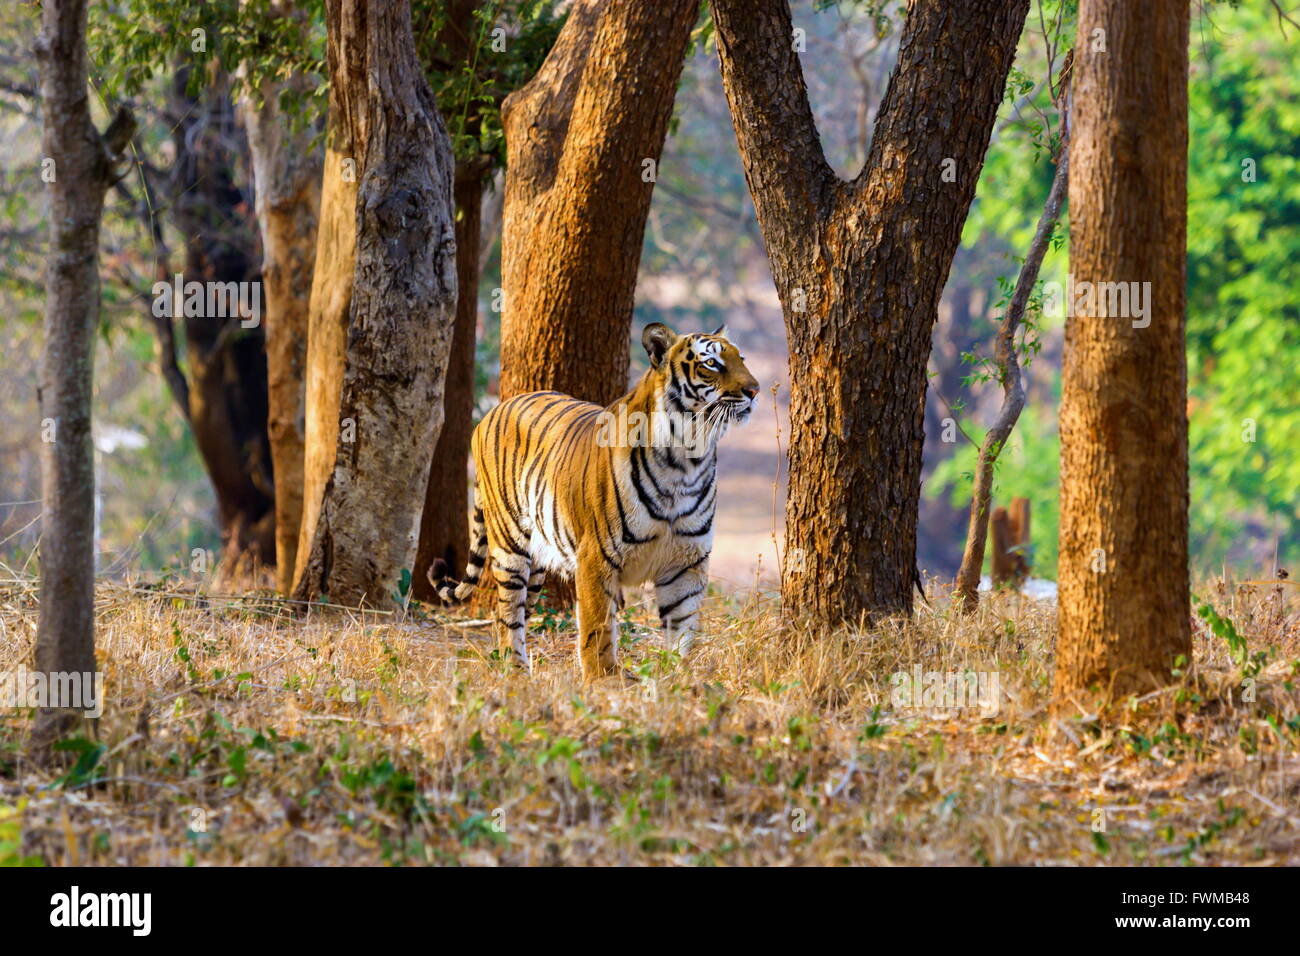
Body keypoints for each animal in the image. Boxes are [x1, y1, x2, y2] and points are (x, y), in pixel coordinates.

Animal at [429, 322, 759, 681]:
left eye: (741, 358)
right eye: (711, 363)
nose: (755, 391)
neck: (687, 458)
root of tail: (493, 411)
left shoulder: (686, 562)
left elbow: (683, 630)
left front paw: (678, 679)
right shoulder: (596, 557)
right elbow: (596, 629)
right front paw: (603, 682)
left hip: (537, 566)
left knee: (517, 614)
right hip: (510, 545)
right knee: (507, 616)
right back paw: (515, 671)